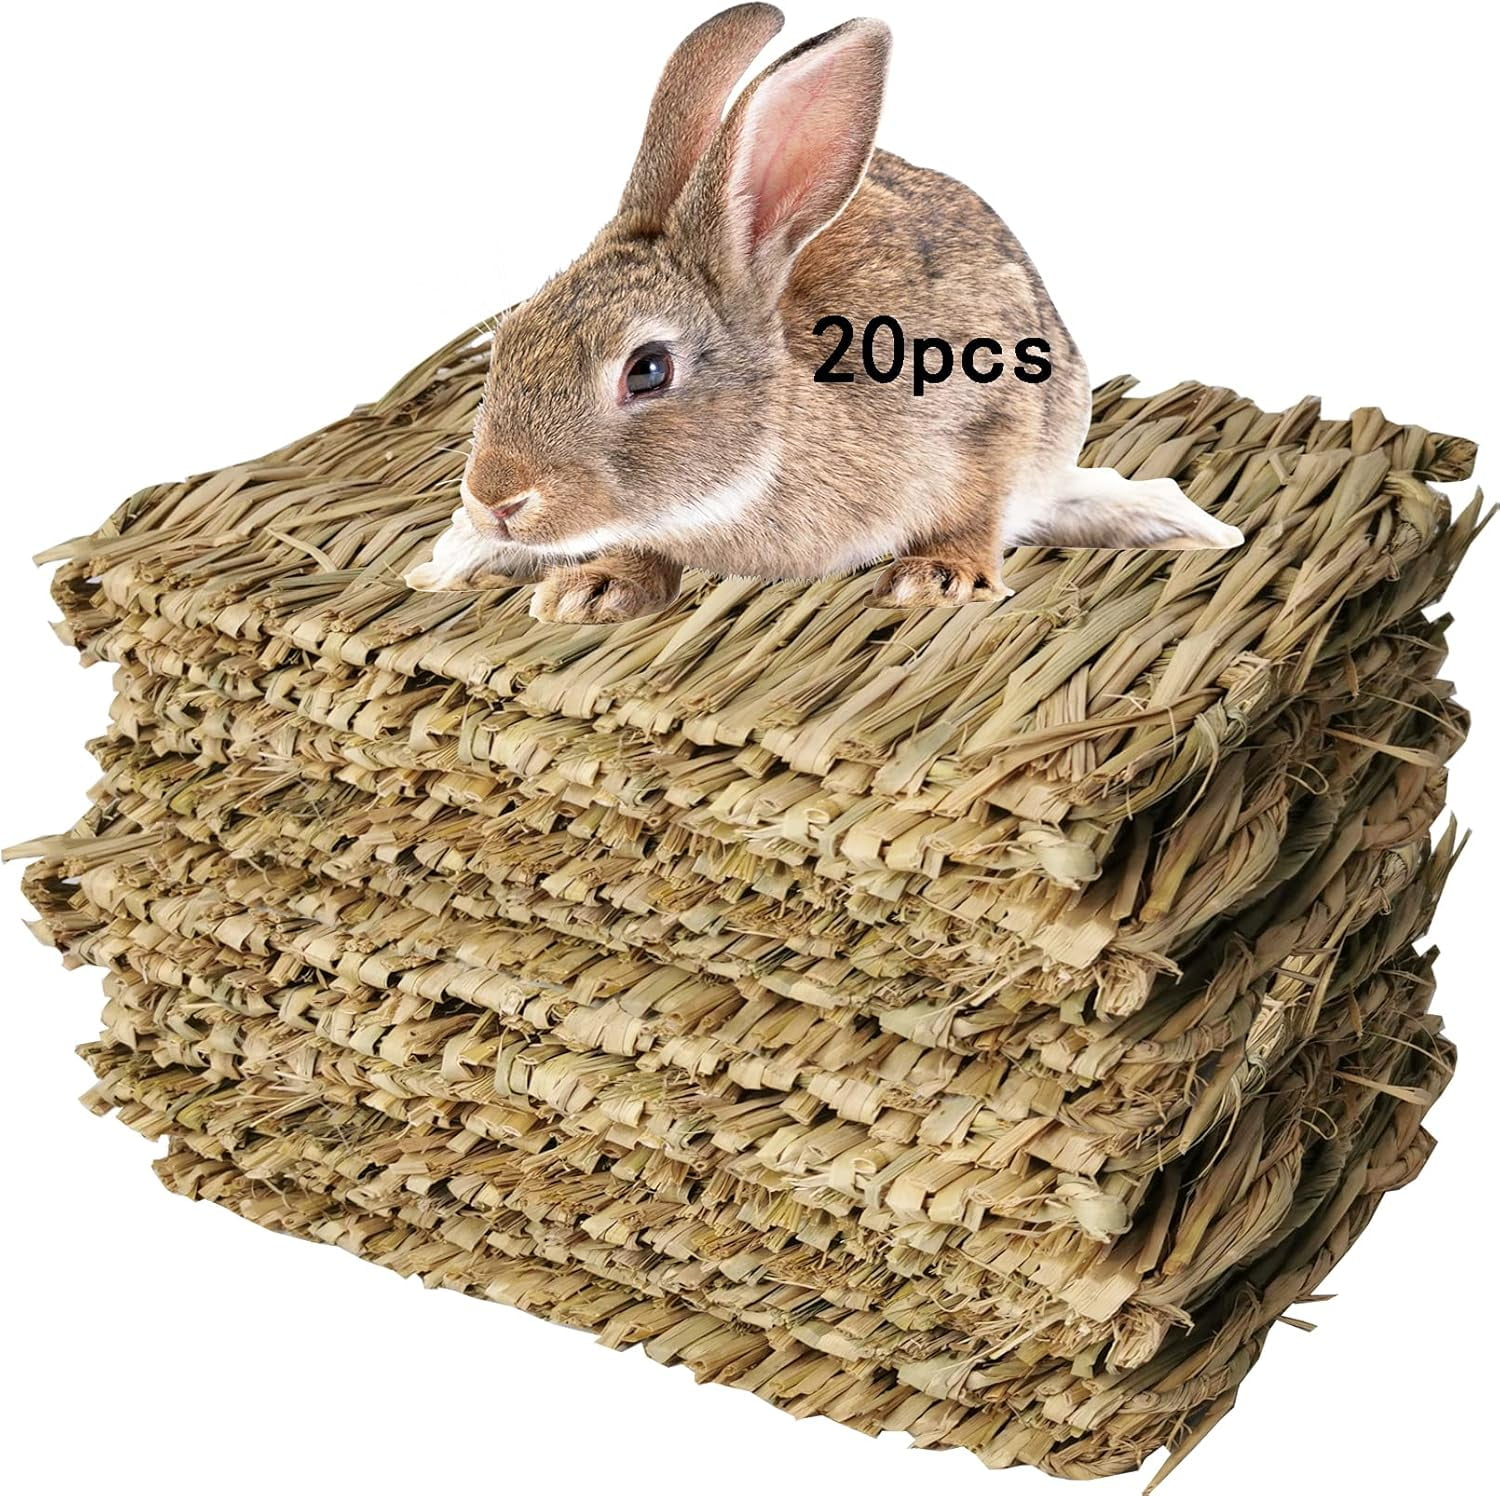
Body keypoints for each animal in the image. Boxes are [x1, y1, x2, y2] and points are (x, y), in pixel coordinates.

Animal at [404, 4, 1242, 622]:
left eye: (646, 371)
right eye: (507, 338)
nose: (494, 501)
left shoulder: (992, 415)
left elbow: (976, 510)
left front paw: (938, 577)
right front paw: (594, 588)